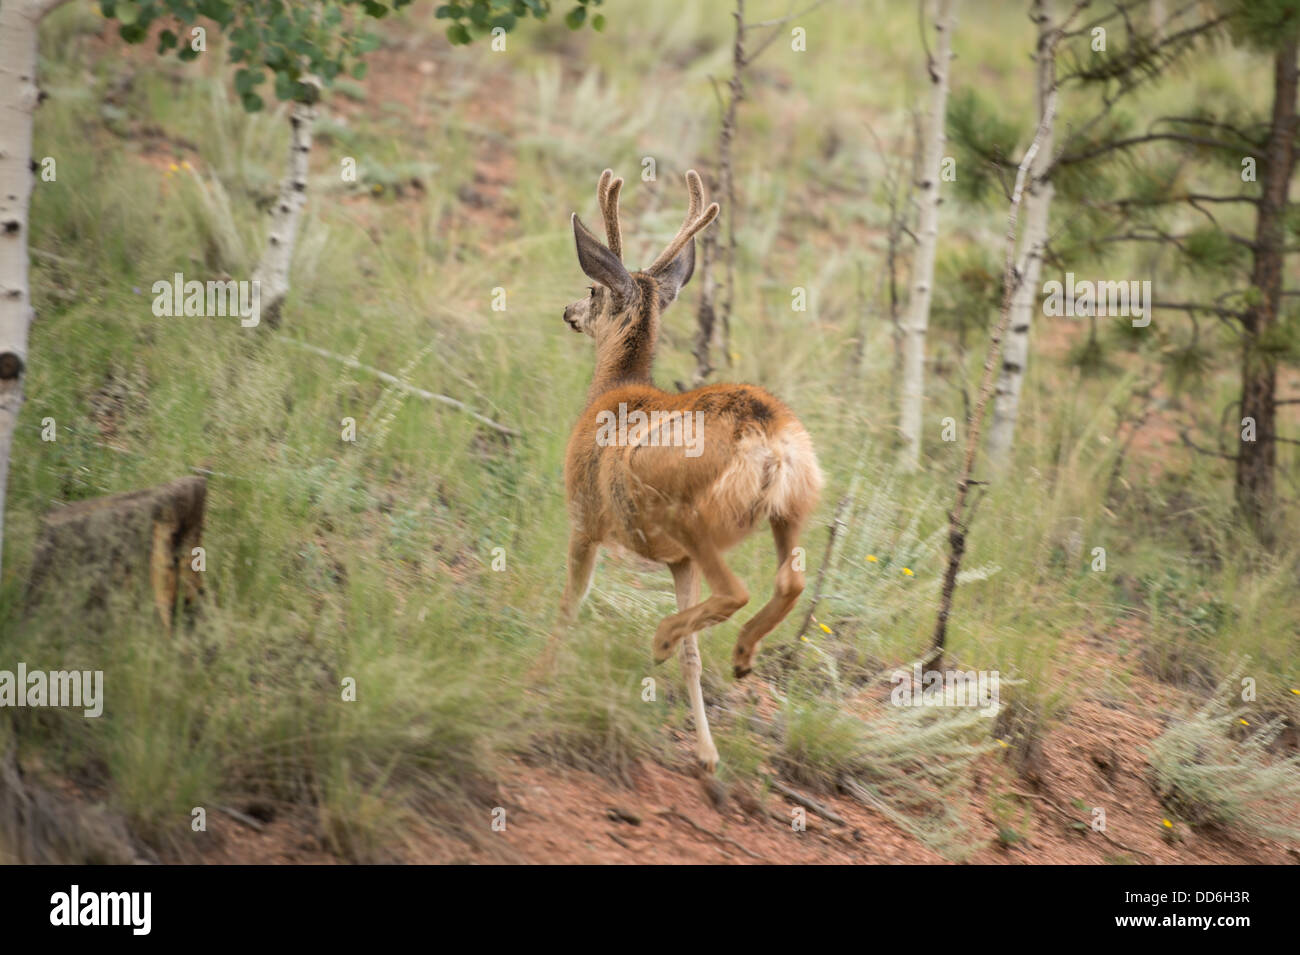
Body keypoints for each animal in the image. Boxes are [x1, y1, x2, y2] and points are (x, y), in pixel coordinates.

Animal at [546, 168, 823, 773]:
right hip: (791, 506)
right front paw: (706, 753)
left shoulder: (583, 518)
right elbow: (694, 660)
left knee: (735, 590)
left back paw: (664, 638)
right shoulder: (676, 562)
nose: (567, 311)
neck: (614, 390)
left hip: (688, 510)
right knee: (790, 580)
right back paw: (739, 654)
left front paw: (539, 673)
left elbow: (569, 607)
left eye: (593, 290)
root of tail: (768, 437)